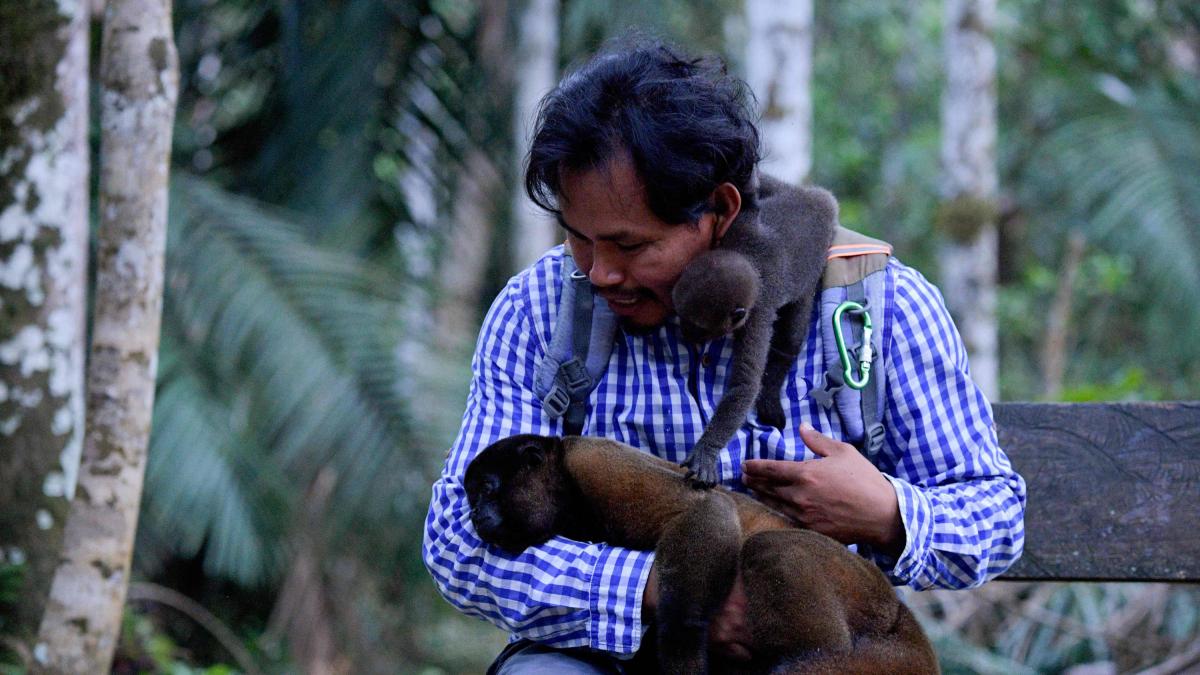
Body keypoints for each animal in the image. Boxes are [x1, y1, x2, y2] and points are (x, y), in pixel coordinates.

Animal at [464, 434, 940, 675]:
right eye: (470, 497)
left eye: (487, 490)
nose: (473, 514)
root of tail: (900, 615)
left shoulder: (594, 462)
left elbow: (704, 509)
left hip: (863, 597)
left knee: (773, 547)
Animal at [672, 174, 838, 487]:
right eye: (679, 315)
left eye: (697, 326)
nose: (684, 334)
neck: (749, 260)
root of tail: (823, 204)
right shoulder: (740, 228)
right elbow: (747, 196)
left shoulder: (757, 315)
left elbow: (745, 384)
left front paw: (706, 450)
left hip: (811, 277)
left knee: (790, 338)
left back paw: (770, 395)